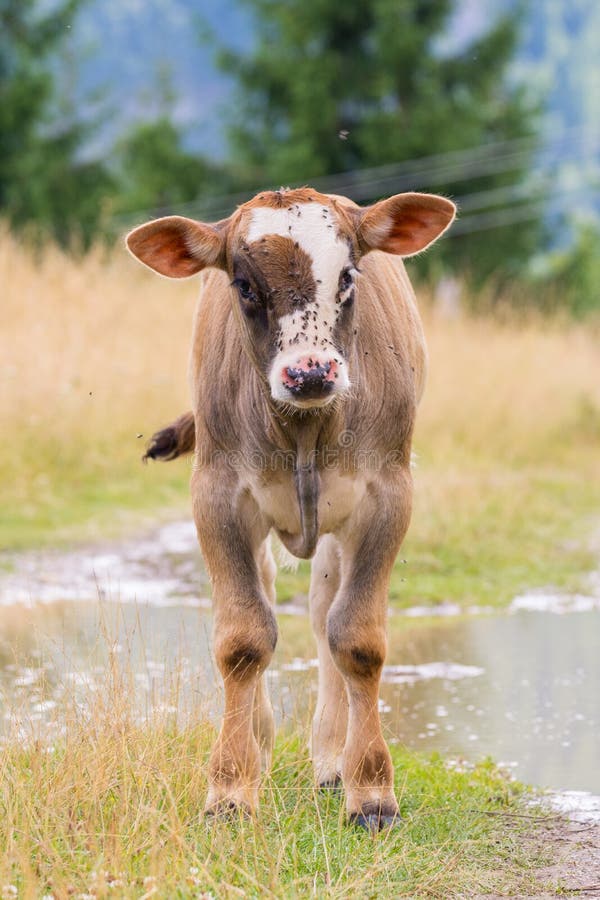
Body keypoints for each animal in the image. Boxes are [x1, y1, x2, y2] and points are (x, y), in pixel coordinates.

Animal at [126, 187, 455, 831]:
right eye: (243, 284)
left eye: (349, 275)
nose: (309, 372)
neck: (303, 427)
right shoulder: (217, 499)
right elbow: (243, 640)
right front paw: (231, 787)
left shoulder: (388, 497)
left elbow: (356, 639)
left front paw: (370, 791)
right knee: (266, 595)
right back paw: (259, 740)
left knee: (326, 612)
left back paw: (330, 758)